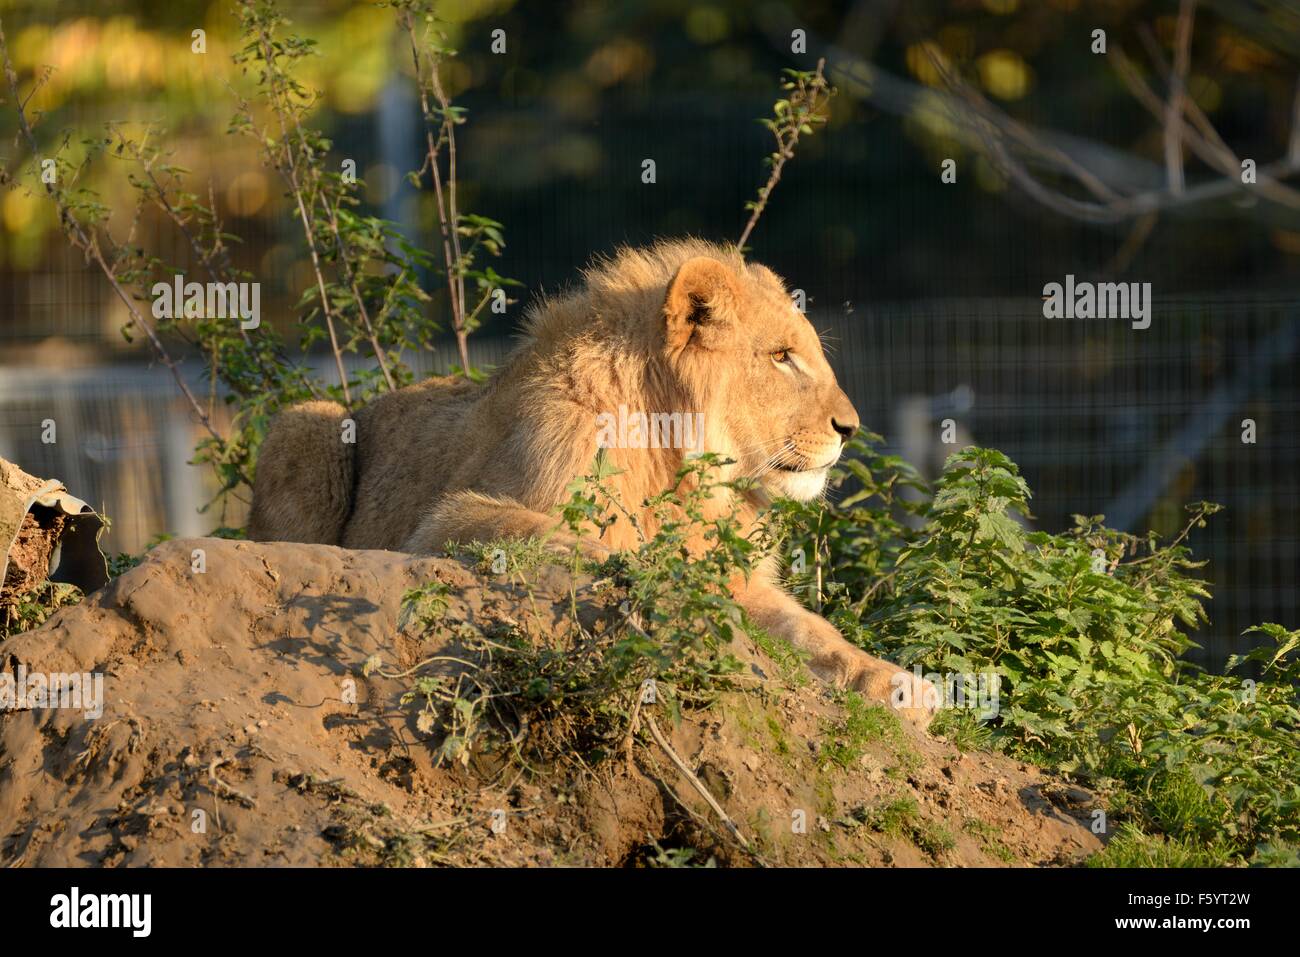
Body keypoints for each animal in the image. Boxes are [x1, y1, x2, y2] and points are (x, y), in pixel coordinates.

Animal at [249, 239, 936, 727]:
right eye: (781, 357)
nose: (851, 428)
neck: (679, 472)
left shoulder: (744, 581)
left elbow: (811, 630)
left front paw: (896, 683)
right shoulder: (447, 521)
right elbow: (582, 544)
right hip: (309, 423)